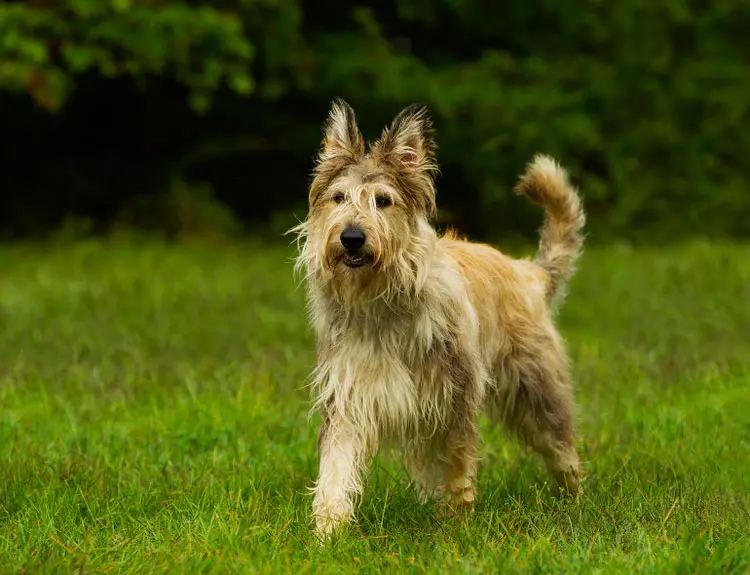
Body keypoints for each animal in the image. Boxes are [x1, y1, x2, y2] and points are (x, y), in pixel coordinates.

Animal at [290, 98, 592, 536]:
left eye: (383, 200)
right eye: (339, 197)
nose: (351, 238)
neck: (380, 302)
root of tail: (528, 272)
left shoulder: (455, 398)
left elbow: (458, 463)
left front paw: (457, 522)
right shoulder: (349, 397)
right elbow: (336, 466)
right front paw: (328, 529)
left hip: (538, 391)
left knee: (561, 448)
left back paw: (575, 498)